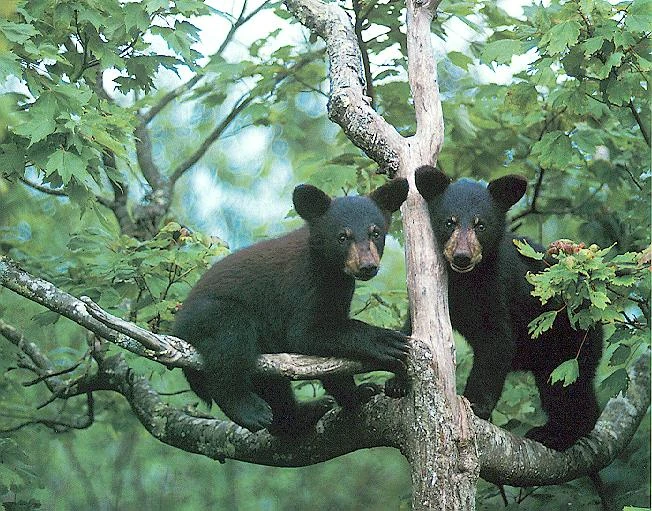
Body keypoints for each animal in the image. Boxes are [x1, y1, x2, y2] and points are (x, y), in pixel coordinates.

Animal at [173, 178, 410, 434]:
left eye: (375, 233)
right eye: (342, 236)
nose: (367, 266)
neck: (330, 269)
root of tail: (177, 326)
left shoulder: (339, 292)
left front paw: (358, 393)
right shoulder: (305, 286)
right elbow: (306, 334)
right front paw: (385, 341)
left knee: (274, 386)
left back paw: (304, 413)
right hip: (209, 316)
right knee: (231, 340)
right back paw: (248, 408)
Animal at [412, 165, 602, 451]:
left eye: (480, 224)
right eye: (450, 222)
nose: (462, 257)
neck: (465, 280)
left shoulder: (497, 289)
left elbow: (497, 341)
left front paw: (476, 405)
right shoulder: (441, 294)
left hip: (572, 340)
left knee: (569, 389)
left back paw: (554, 434)